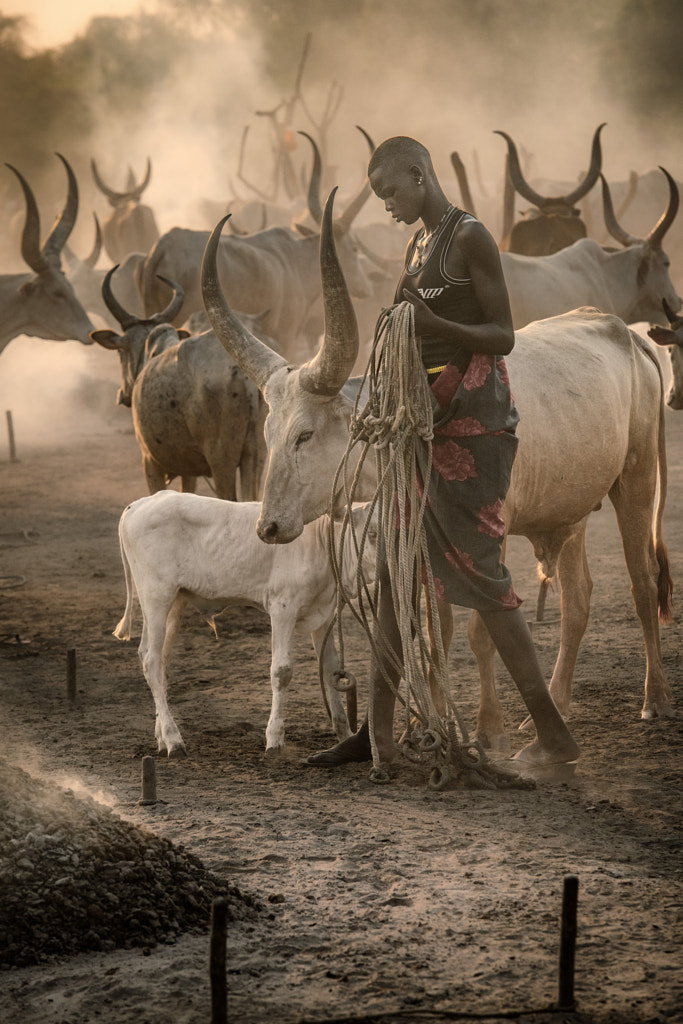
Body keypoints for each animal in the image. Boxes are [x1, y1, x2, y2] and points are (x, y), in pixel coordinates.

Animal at [90, 268, 267, 500]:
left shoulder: (150, 462)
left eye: (120, 351)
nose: (122, 395)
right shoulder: (188, 469)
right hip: (257, 457)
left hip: (221, 460)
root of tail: (244, 376)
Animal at [114, 491, 378, 755]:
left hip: (174, 602)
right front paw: (274, 738)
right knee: (151, 662)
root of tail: (138, 504)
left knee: (158, 659)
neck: (323, 542)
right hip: (156, 596)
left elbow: (330, 669)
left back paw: (161, 737)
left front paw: (345, 735)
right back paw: (173, 739)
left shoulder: (323, 614)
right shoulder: (282, 608)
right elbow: (282, 671)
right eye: (373, 534)